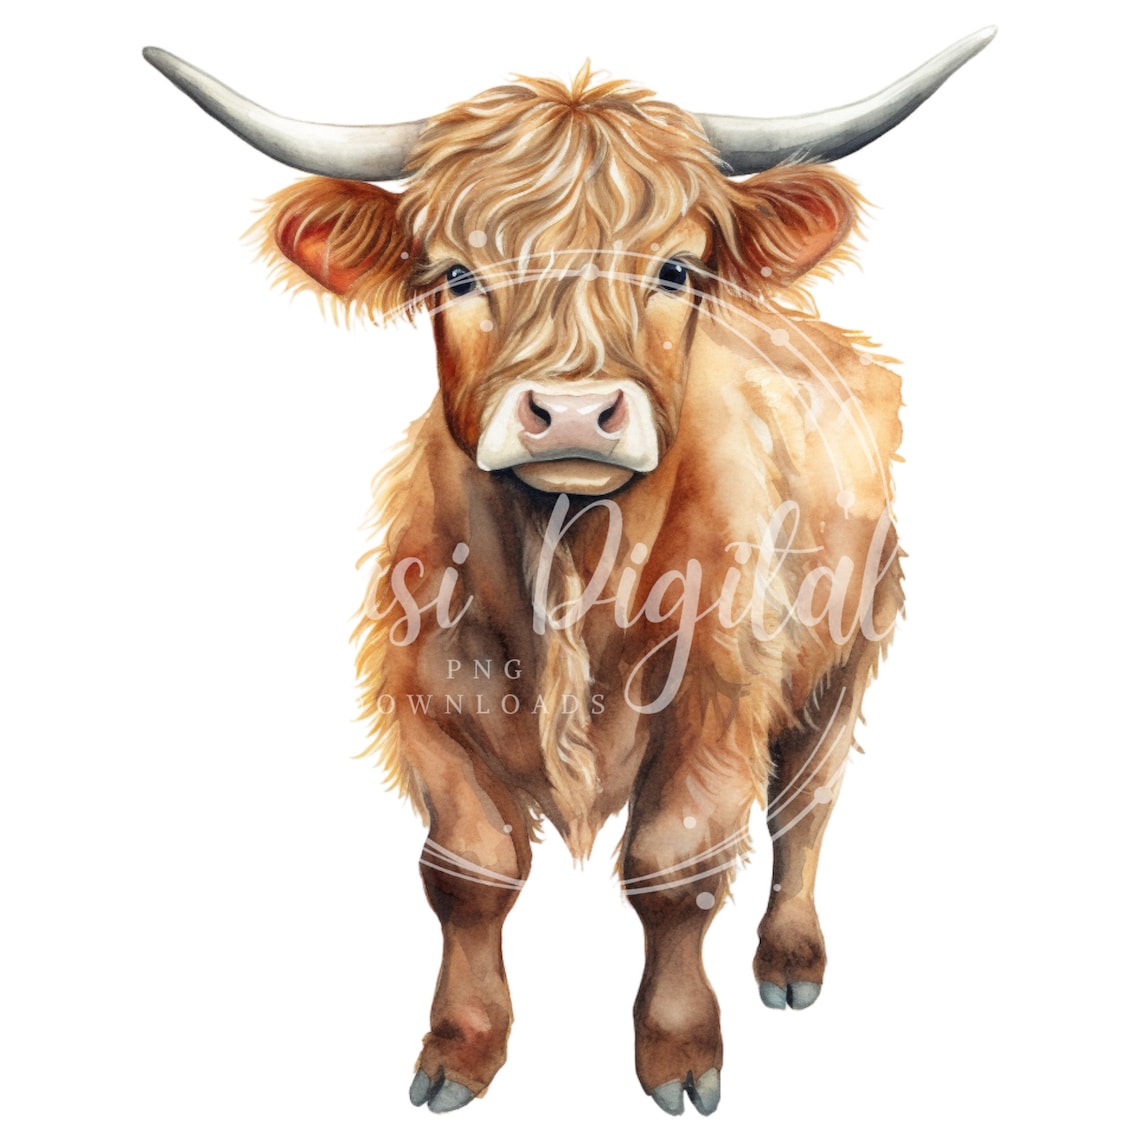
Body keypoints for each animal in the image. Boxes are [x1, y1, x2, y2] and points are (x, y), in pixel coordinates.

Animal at [145, 29, 993, 1117]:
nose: (578, 413)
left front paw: (679, 1052)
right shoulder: (428, 704)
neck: (569, 565)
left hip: (844, 658)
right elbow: (468, 873)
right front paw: (460, 1051)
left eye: (675, 267)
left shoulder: (719, 702)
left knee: (806, 803)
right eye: (456, 276)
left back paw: (790, 958)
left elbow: (676, 868)